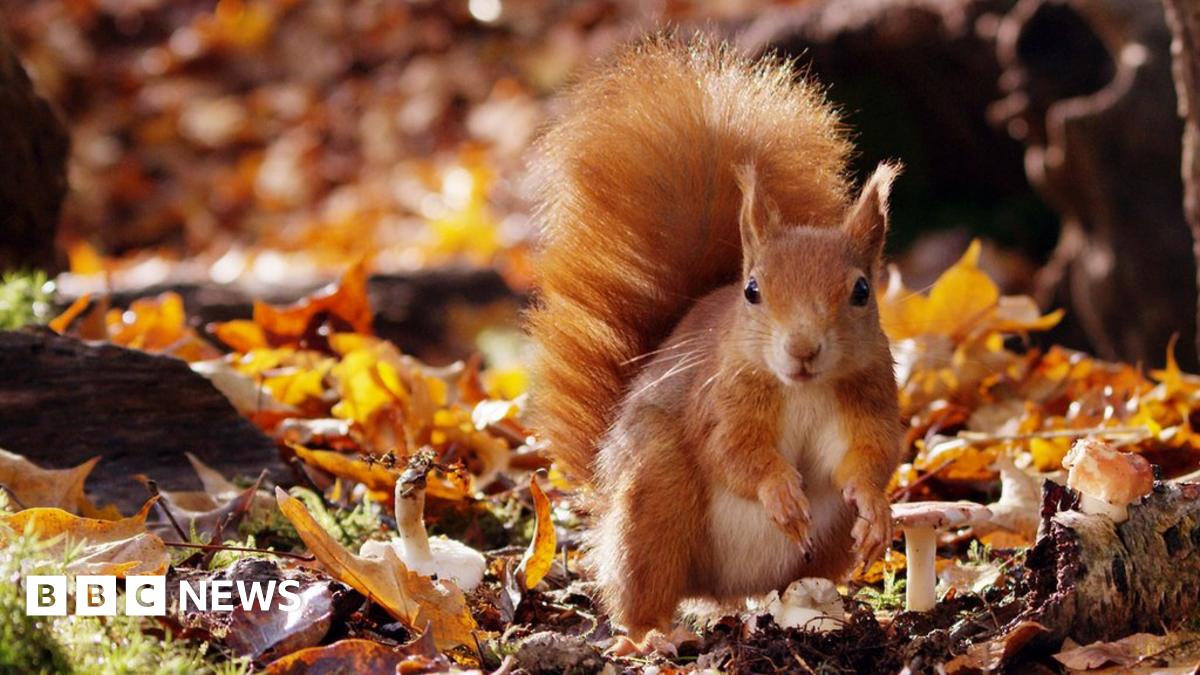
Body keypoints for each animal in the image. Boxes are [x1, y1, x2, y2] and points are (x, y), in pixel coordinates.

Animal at [527, 36, 903, 650]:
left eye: (862, 291)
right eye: (753, 290)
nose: (803, 350)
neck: (802, 389)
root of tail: (722, 590)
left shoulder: (868, 395)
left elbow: (871, 455)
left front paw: (876, 509)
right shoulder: (720, 398)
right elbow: (731, 451)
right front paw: (778, 489)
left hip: (821, 546)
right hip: (655, 499)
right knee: (643, 591)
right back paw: (652, 636)